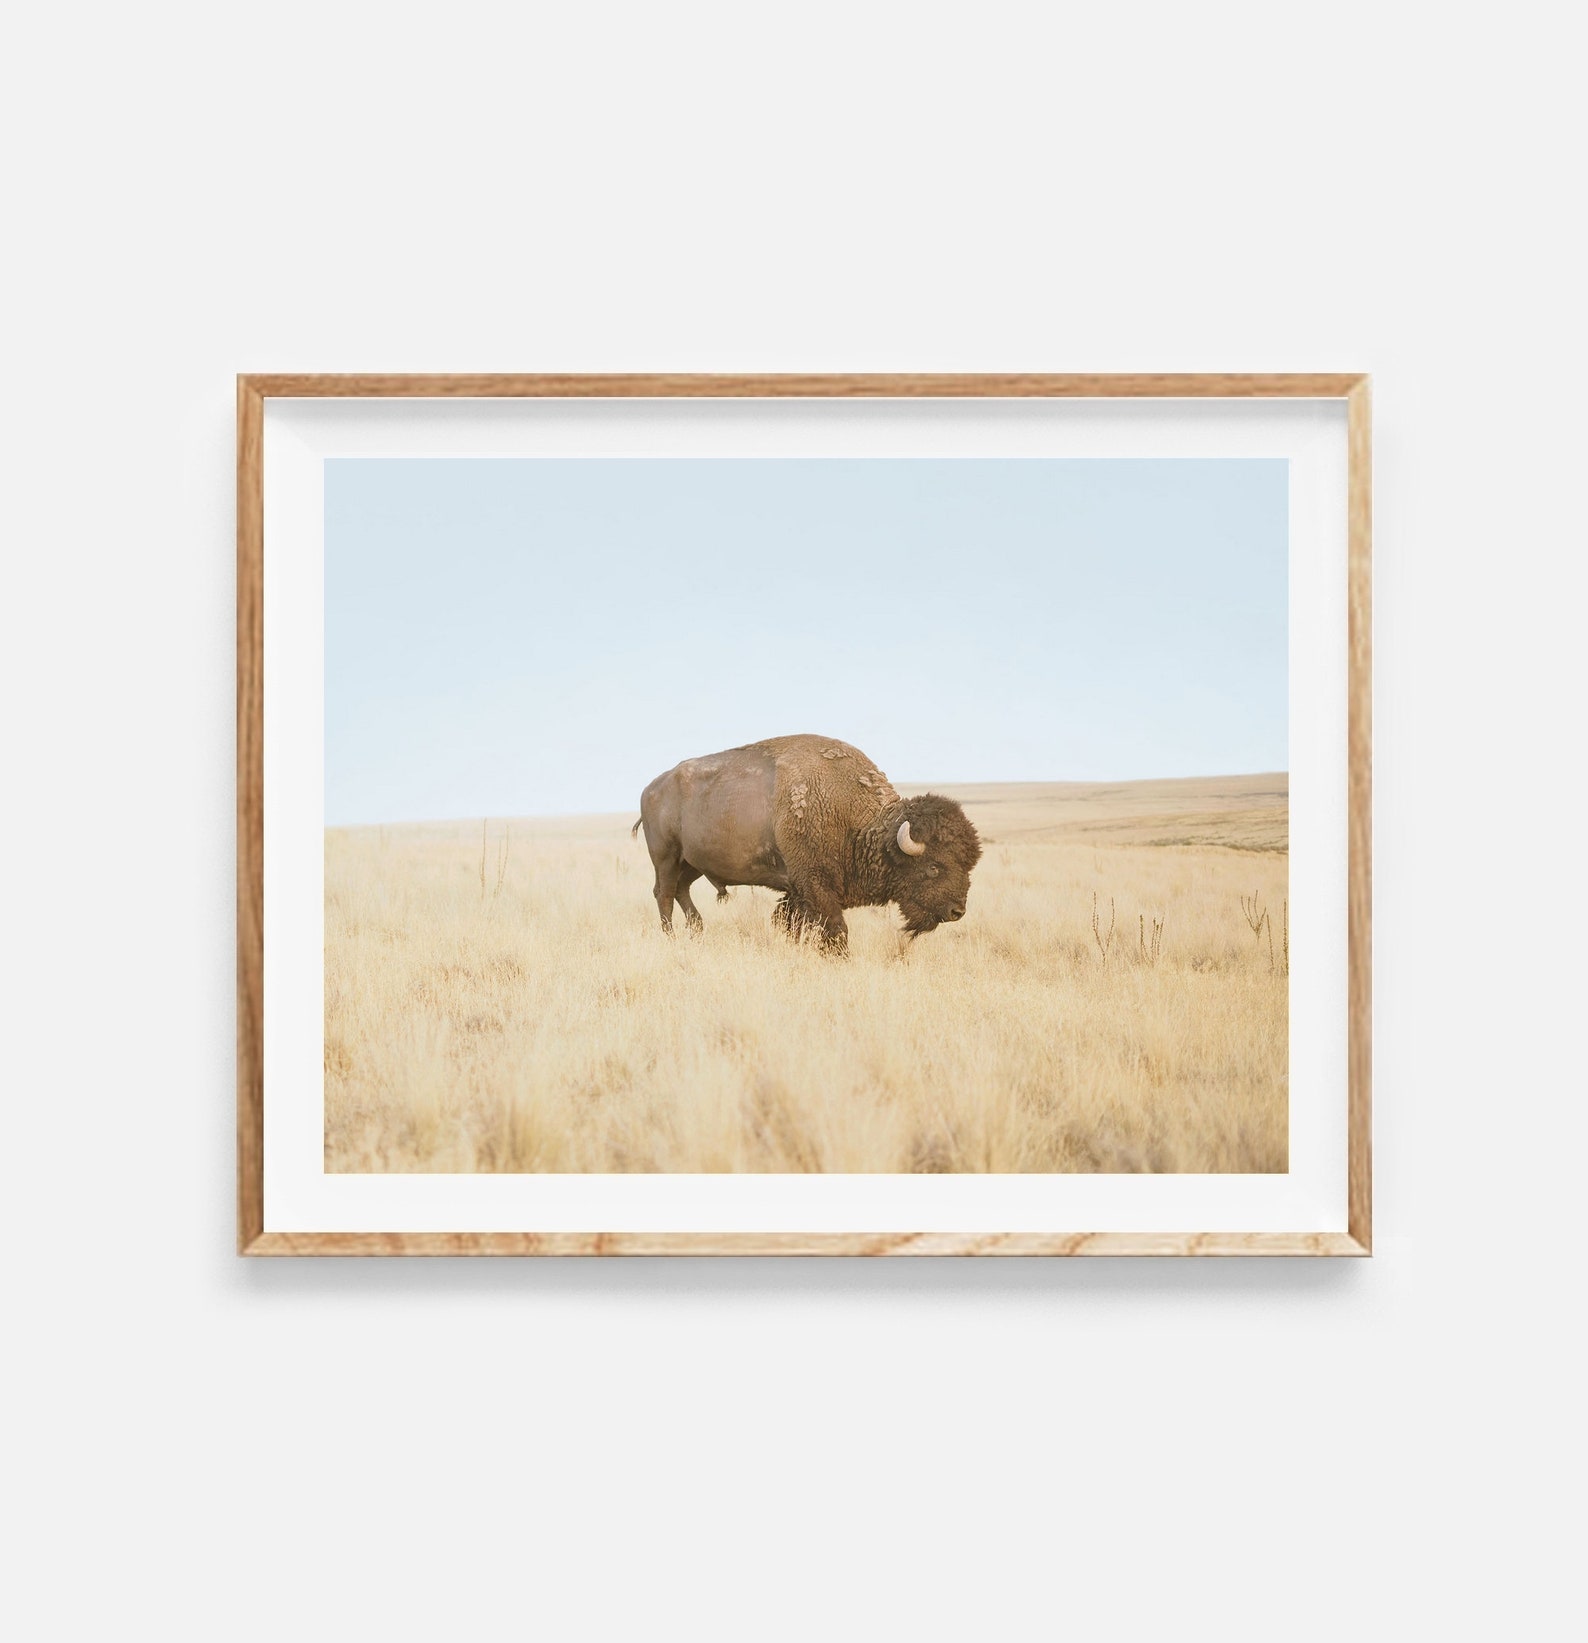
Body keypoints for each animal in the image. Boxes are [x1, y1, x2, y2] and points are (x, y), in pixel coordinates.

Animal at [632, 735, 981, 952]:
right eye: (934, 866)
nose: (957, 911)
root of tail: (650, 788)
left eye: (968, 865)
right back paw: (671, 937)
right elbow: (835, 929)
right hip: (666, 857)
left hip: (692, 863)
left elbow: (792, 923)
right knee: (664, 894)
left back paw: (697, 930)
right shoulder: (815, 885)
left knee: (681, 890)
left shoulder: (798, 891)